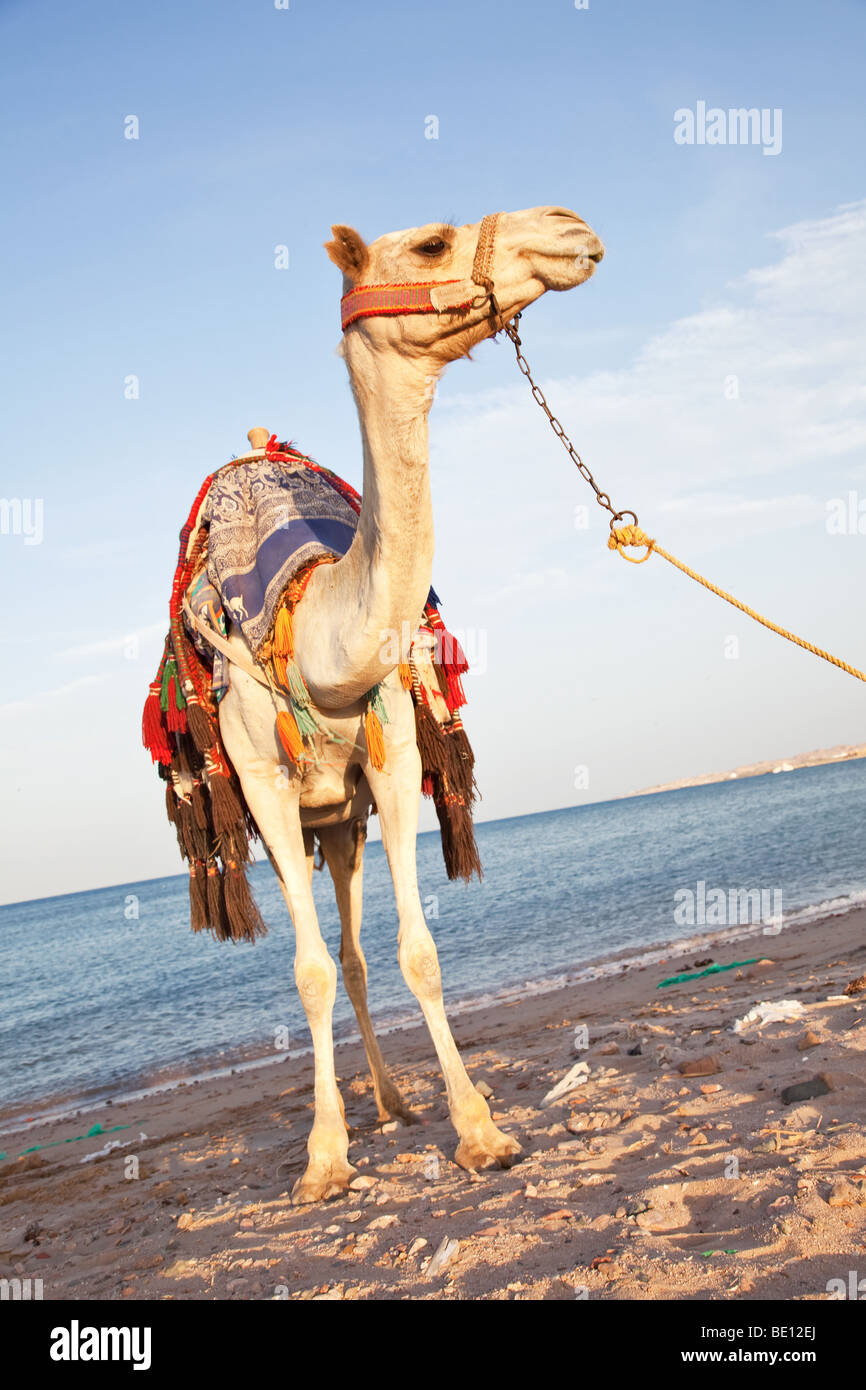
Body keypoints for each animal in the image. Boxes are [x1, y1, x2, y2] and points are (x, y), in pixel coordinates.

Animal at [215, 206, 604, 1203]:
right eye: (431, 243)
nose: (573, 226)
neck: (315, 625)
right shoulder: (264, 780)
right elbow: (307, 972)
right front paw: (321, 1160)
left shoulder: (389, 761)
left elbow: (414, 951)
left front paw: (480, 1130)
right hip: (301, 818)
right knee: (333, 960)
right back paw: (362, 1118)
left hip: (342, 823)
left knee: (358, 954)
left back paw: (394, 1104)